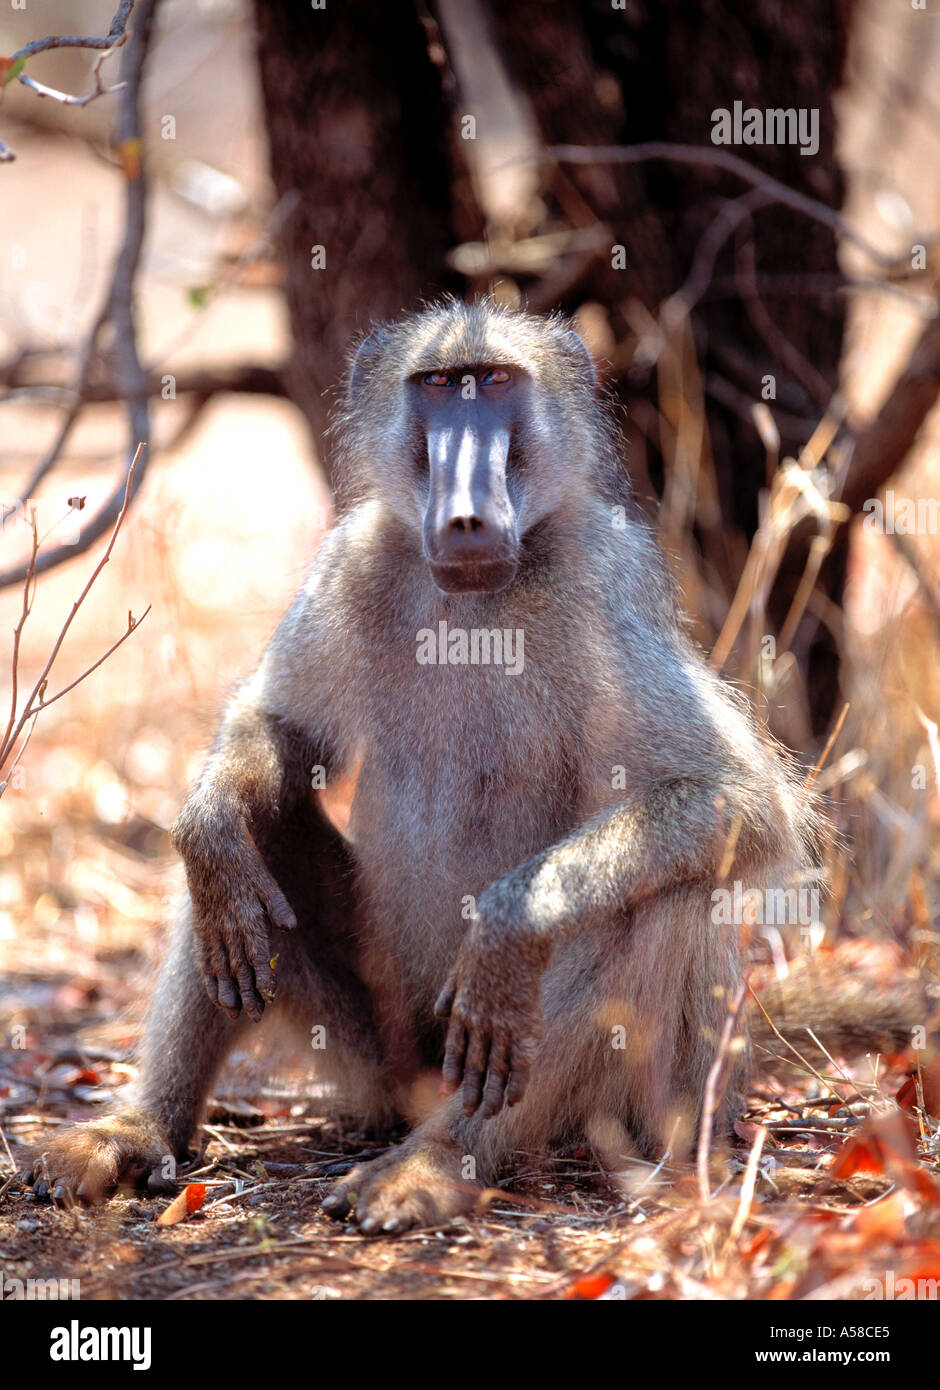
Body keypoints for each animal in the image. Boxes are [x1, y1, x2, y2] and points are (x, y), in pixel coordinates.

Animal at [24, 300, 911, 1229]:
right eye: (442, 385)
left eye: (493, 381)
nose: (465, 519)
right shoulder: (354, 556)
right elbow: (281, 734)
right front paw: (207, 828)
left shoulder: (604, 586)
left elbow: (730, 796)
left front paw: (509, 923)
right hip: (377, 1050)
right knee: (246, 864)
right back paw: (135, 1130)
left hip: (634, 1089)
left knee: (664, 895)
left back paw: (434, 1163)